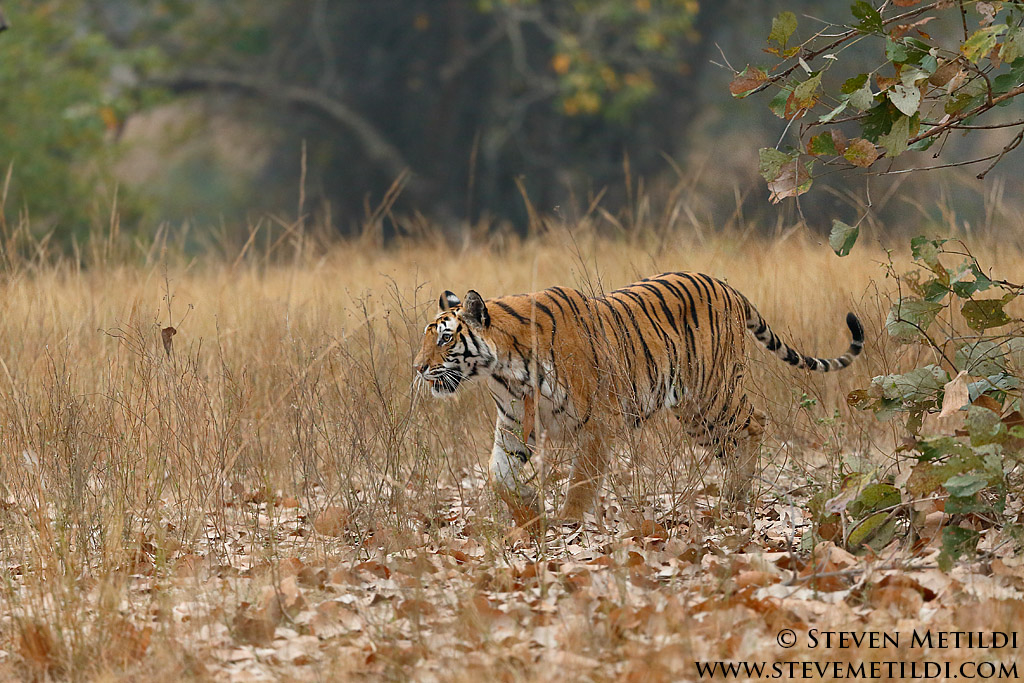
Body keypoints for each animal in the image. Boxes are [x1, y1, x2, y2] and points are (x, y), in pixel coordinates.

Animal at [413, 272, 863, 526]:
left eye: (445, 338)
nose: (417, 368)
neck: (506, 369)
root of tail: (729, 286)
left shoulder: (597, 422)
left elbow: (581, 480)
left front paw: (567, 523)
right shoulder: (512, 425)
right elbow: (498, 475)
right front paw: (529, 512)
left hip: (712, 394)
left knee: (756, 422)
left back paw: (735, 497)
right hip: (695, 414)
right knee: (733, 443)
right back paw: (734, 494)